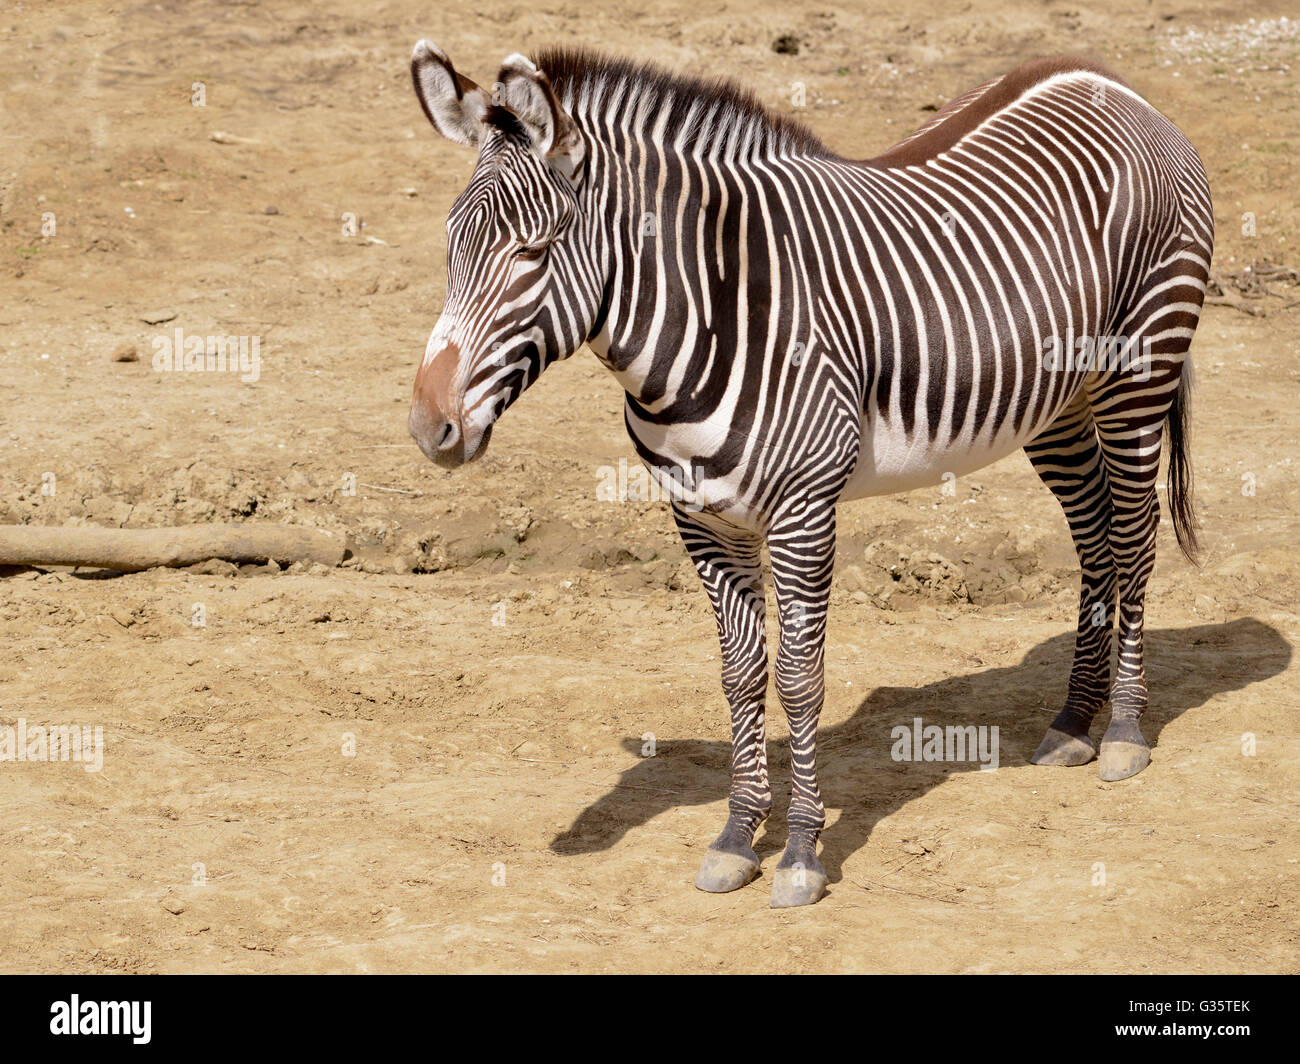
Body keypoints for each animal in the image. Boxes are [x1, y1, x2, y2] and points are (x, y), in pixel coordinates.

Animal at [405, 41, 1213, 907]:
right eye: (450, 245)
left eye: (532, 252)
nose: (428, 427)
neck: (708, 314)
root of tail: (1110, 82)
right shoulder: (702, 519)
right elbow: (739, 677)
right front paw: (735, 837)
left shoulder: (804, 511)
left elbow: (799, 679)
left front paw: (799, 852)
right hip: (1056, 402)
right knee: (1094, 535)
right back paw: (1071, 724)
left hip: (1138, 370)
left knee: (1133, 538)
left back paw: (1124, 731)